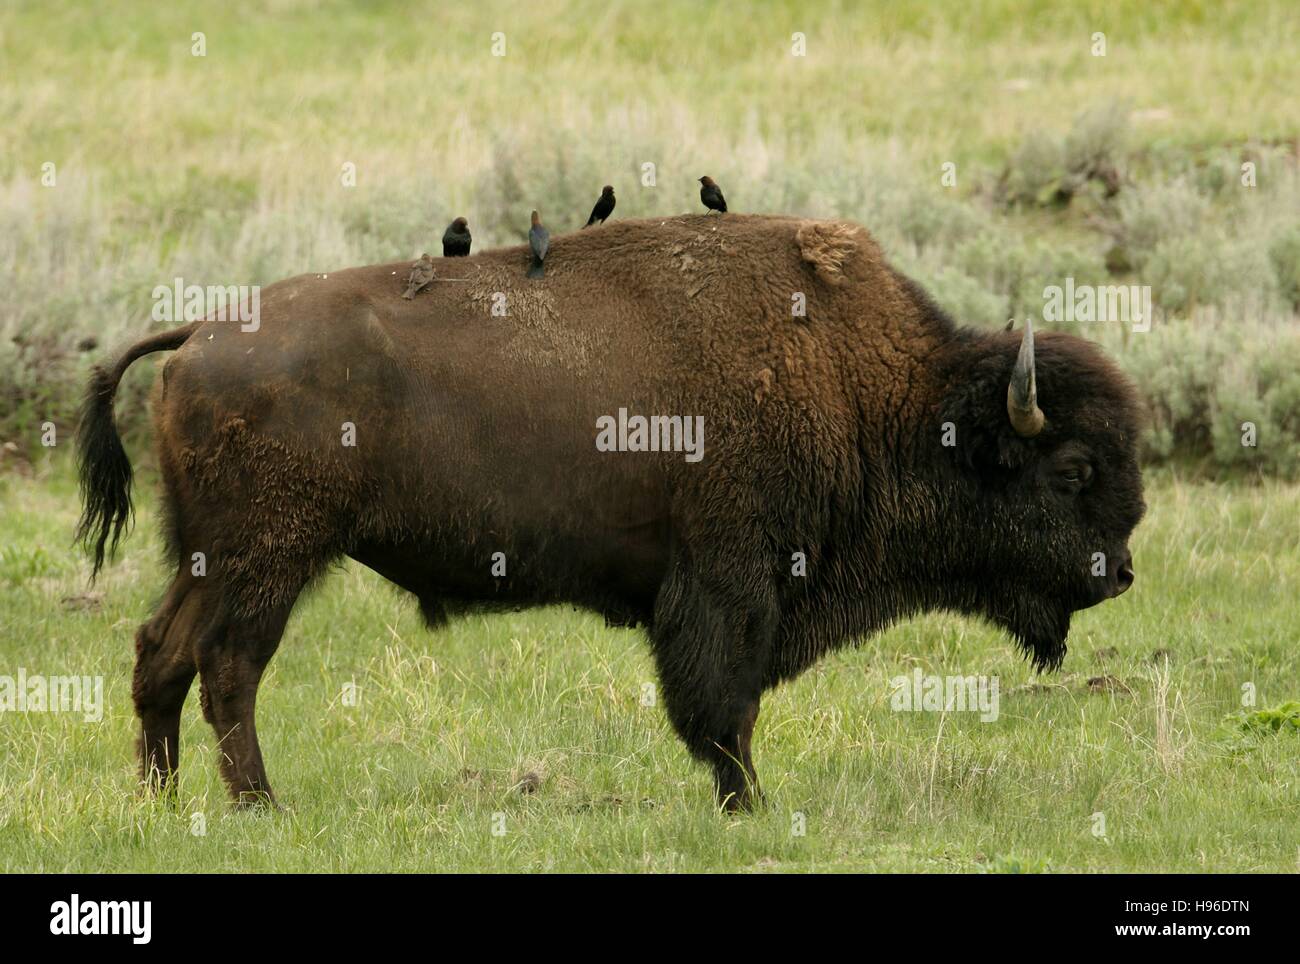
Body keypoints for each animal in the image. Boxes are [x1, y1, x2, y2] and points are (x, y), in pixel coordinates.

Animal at [76, 214, 1145, 812]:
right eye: (1072, 470)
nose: (1122, 572)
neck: (871, 393)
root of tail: (199, 332)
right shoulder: (729, 585)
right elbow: (724, 707)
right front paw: (750, 806)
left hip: (211, 560)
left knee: (160, 654)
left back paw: (164, 802)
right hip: (270, 560)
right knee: (229, 668)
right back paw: (262, 806)